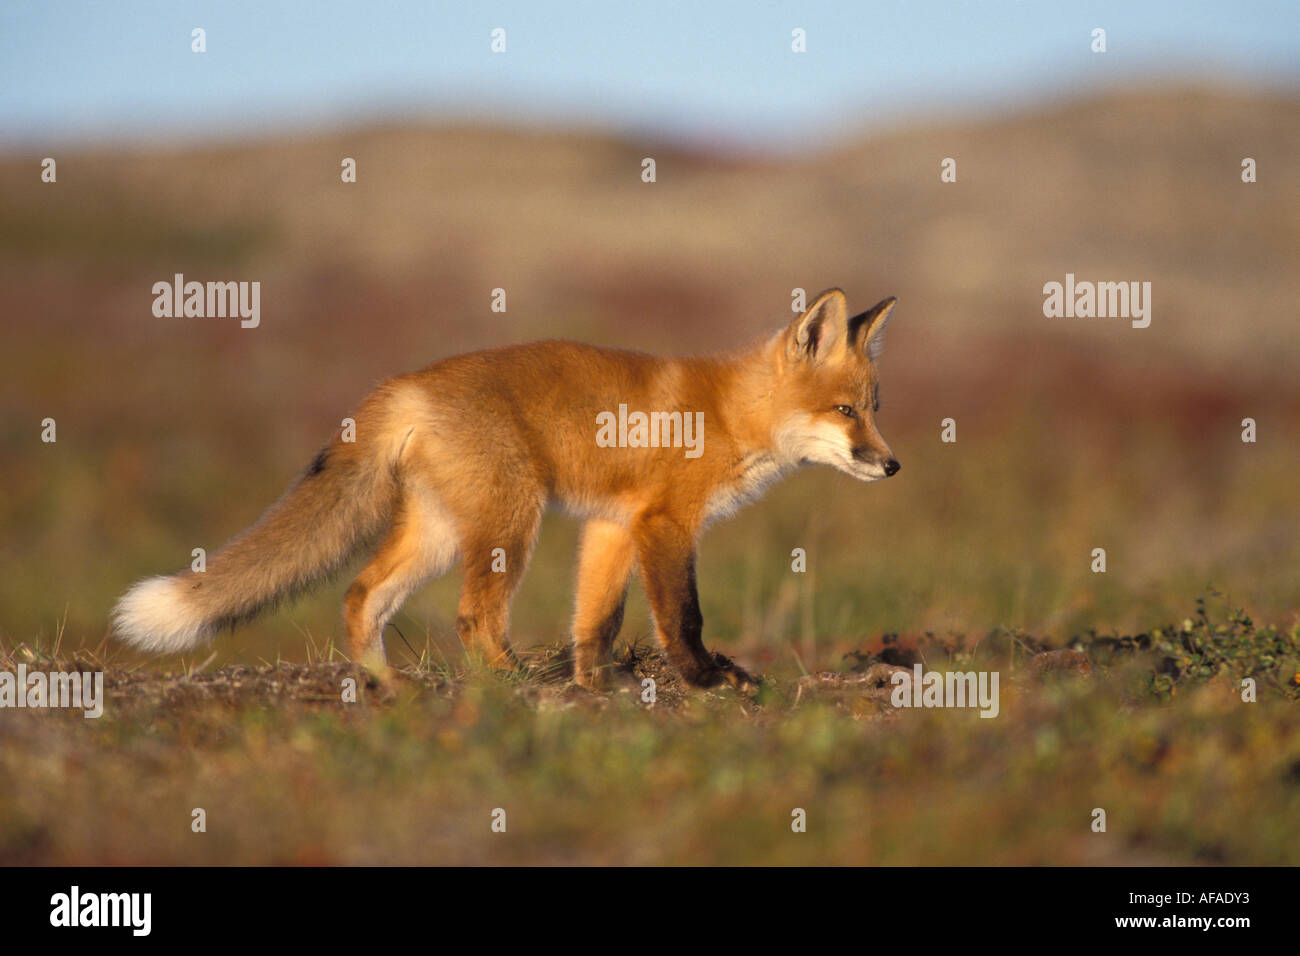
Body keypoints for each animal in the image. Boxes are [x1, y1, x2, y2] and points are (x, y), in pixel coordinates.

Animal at [112, 288, 900, 691]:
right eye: (845, 411)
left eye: (875, 407)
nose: (892, 466)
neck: (730, 414)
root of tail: (403, 384)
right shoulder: (665, 524)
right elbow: (683, 616)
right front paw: (705, 680)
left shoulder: (614, 524)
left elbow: (597, 621)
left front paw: (593, 688)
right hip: (509, 524)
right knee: (471, 618)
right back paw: (510, 682)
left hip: (439, 534)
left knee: (363, 594)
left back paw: (385, 684)